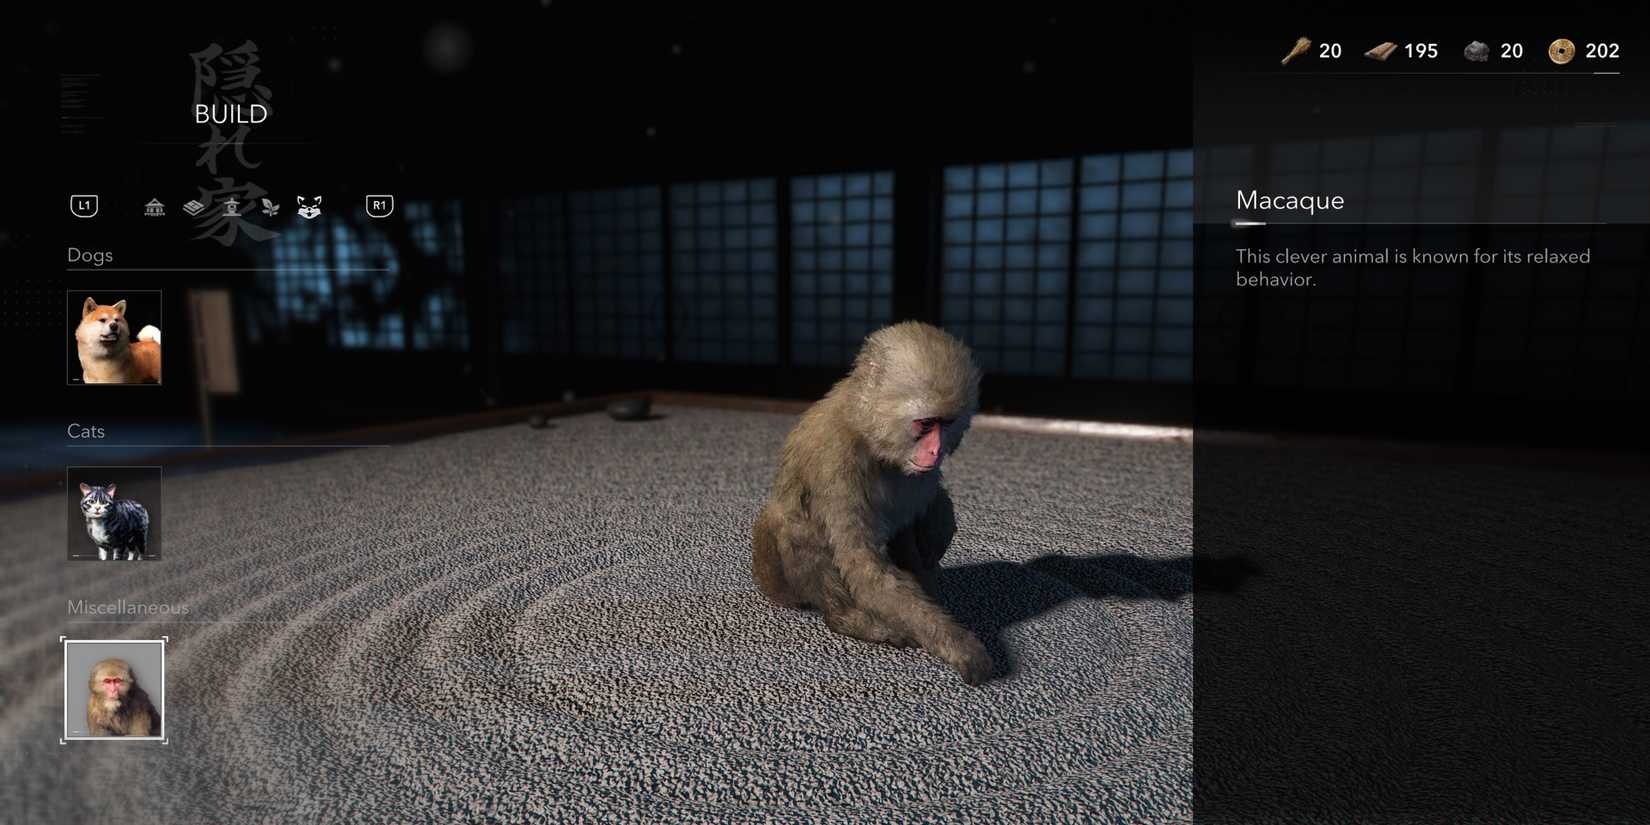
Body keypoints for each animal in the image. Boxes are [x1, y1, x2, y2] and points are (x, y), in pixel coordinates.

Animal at [752, 321, 992, 685]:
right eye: (926, 424)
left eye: (946, 423)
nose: (935, 450)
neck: (867, 433)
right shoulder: (836, 461)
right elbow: (865, 569)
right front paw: (959, 645)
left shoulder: (919, 473)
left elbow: (920, 521)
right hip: (778, 579)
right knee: (793, 523)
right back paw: (846, 618)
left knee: (924, 520)